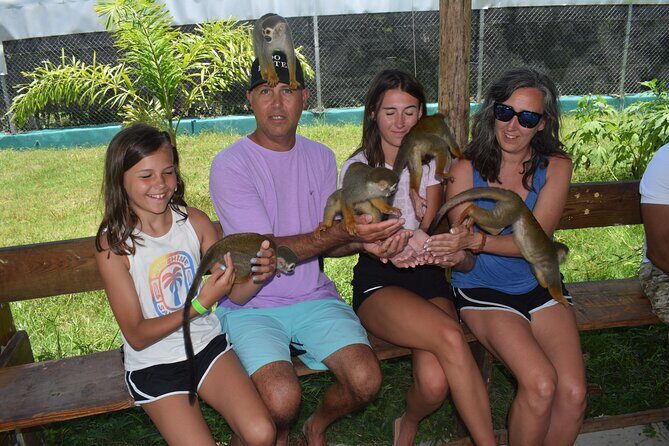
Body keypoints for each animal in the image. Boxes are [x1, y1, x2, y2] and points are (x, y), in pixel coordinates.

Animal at [182, 232, 297, 404]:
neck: (274, 253)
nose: (292, 272)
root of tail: (218, 246)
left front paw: (276, 271)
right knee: (247, 264)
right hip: (233, 257)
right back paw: (240, 279)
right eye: (291, 267)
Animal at [427, 187, 570, 307]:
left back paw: (472, 219)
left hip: (506, 207)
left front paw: (543, 283)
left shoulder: (540, 265)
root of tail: (520, 202)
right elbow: (553, 287)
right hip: (511, 209)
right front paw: (563, 301)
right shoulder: (552, 263)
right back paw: (470, 210)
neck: (554, 250)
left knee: (496, 227)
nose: (564, 259)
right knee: (497, 220)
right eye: (564, 256)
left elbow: (540, 278)